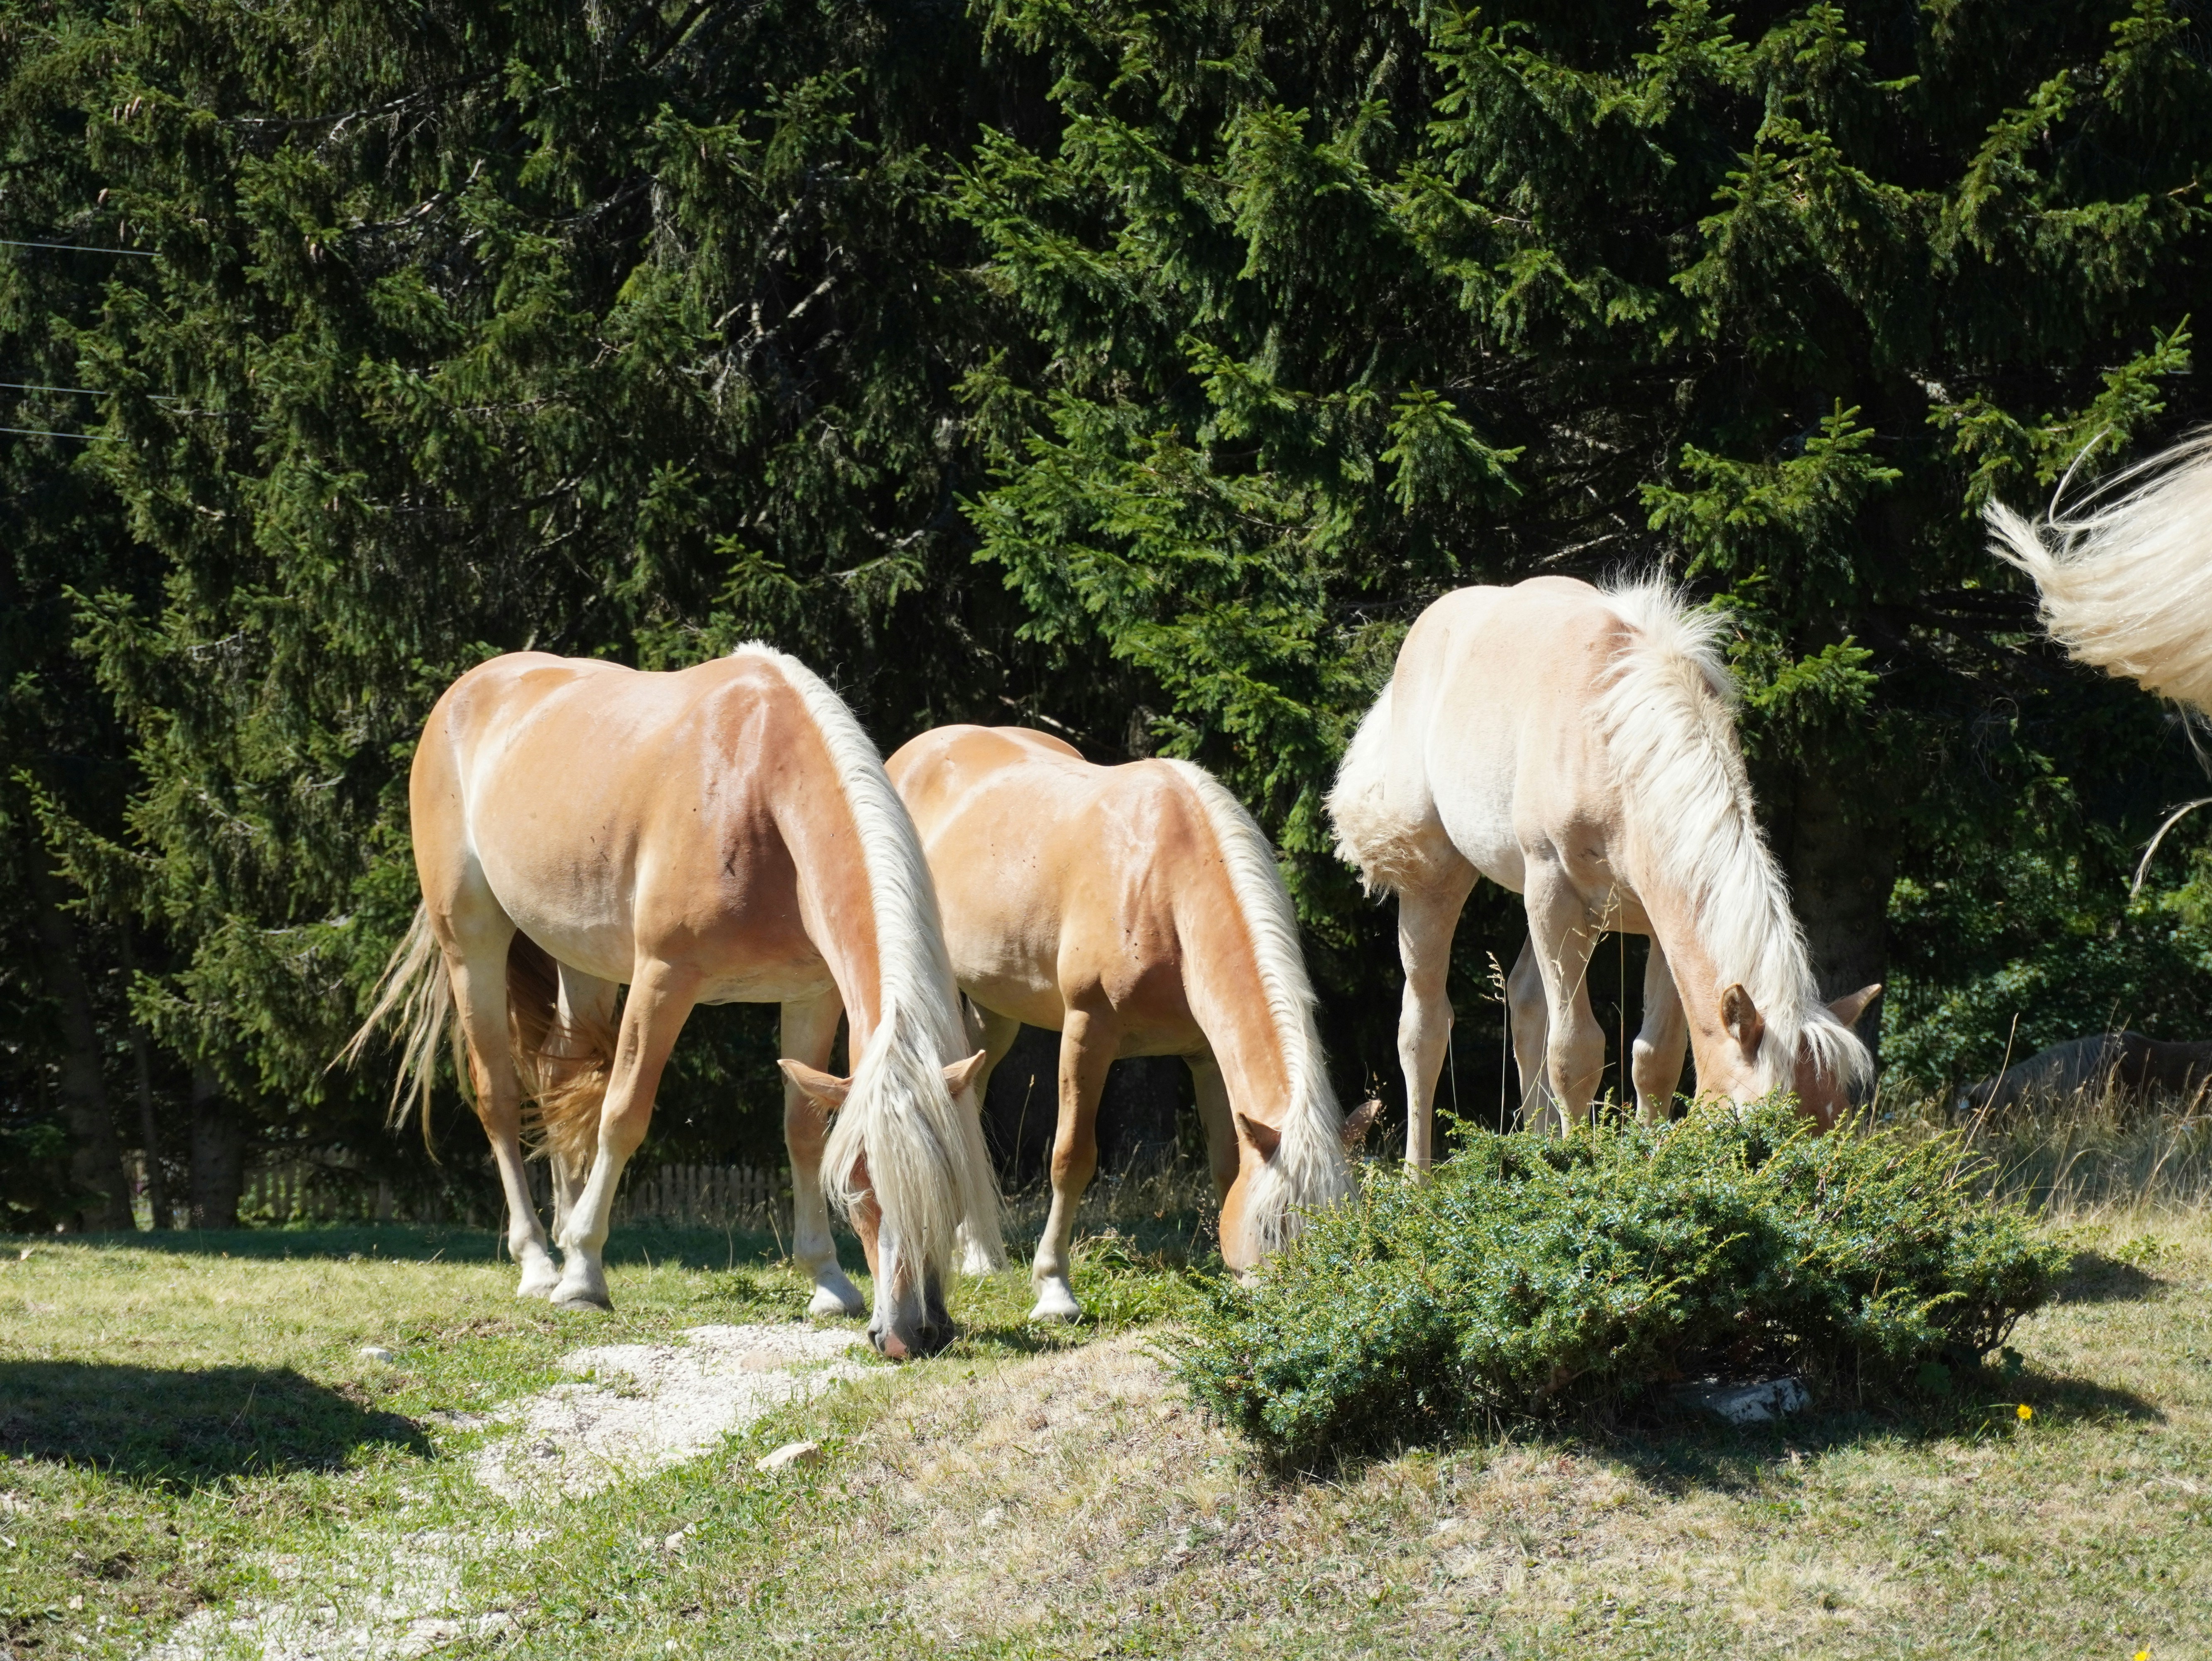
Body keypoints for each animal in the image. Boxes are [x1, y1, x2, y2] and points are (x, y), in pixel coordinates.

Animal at [344, 646, 1001, 1358]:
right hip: (472, 942)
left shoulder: (812, 994)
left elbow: (800, 1130)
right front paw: (584, 1278)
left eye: (953, 1183)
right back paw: (542, 1264)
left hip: (582, 963)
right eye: (858, 1189)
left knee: (557, 1078)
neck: (756, 790)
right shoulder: (664, 979)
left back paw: (565, 1230)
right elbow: (624, 1114)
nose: (916, 1335)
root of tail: (469, 688)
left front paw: (827, 1281)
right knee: (500, 1094)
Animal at [883, 726, 1359, 1320]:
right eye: (1273, 1228)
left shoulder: (1206, 1056)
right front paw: (1054, 1289)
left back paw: (978, 1256)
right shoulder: (1088, 1031)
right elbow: (1071, 1158)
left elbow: (1226, 1166)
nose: (1303, 1313)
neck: (1164, 884)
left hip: (994, 1011)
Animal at [1328, 576, 1878, 1165]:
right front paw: (1580, 1168)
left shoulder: (1661, 923)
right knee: (1425, 1027)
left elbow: (1655, 1058)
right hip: (1438, 878)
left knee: (1525, 1001)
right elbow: (1576, 1052)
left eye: (1839, 1123)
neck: (1617, 741)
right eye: (1753, 1127)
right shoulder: (1554, 893)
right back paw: (1420, 1177)